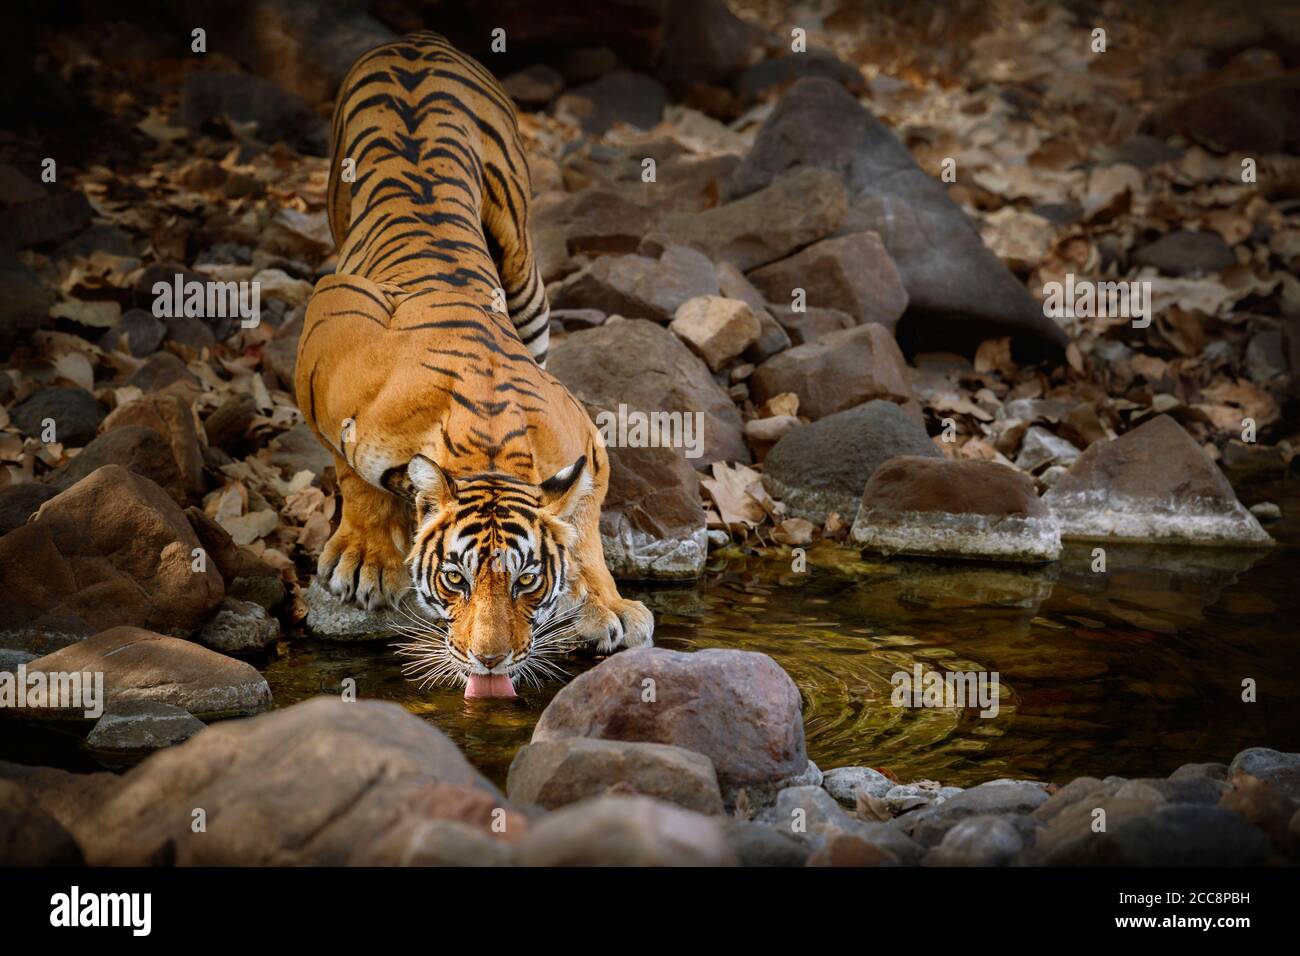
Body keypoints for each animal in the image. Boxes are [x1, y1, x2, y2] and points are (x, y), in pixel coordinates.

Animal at [295, 31, 654, 698]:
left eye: (527, 581)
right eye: (455, 579)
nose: (491, 661)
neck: (488, 448)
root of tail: (417, 40)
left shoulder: (588, 445)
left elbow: (583, 523)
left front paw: (606, 604)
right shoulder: (332, 326)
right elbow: (350, 469)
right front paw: (366, 559)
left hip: (523, 267)